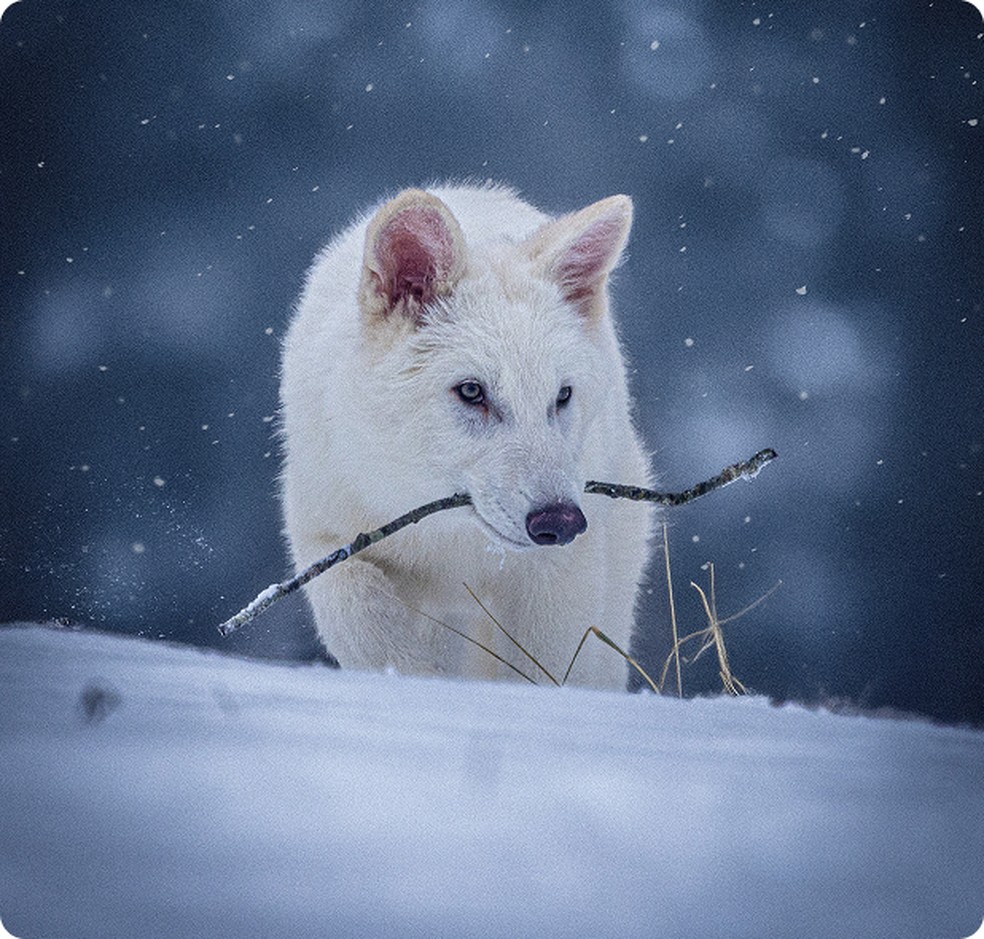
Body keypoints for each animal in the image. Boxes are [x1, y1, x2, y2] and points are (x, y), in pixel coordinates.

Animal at [280, 184, 654, 689]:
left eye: (562, 395)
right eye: (472, 391)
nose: (560, 521)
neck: (451, 539)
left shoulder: (557, 575)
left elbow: (543, 670)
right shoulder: (326, 538)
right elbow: (365, 620)